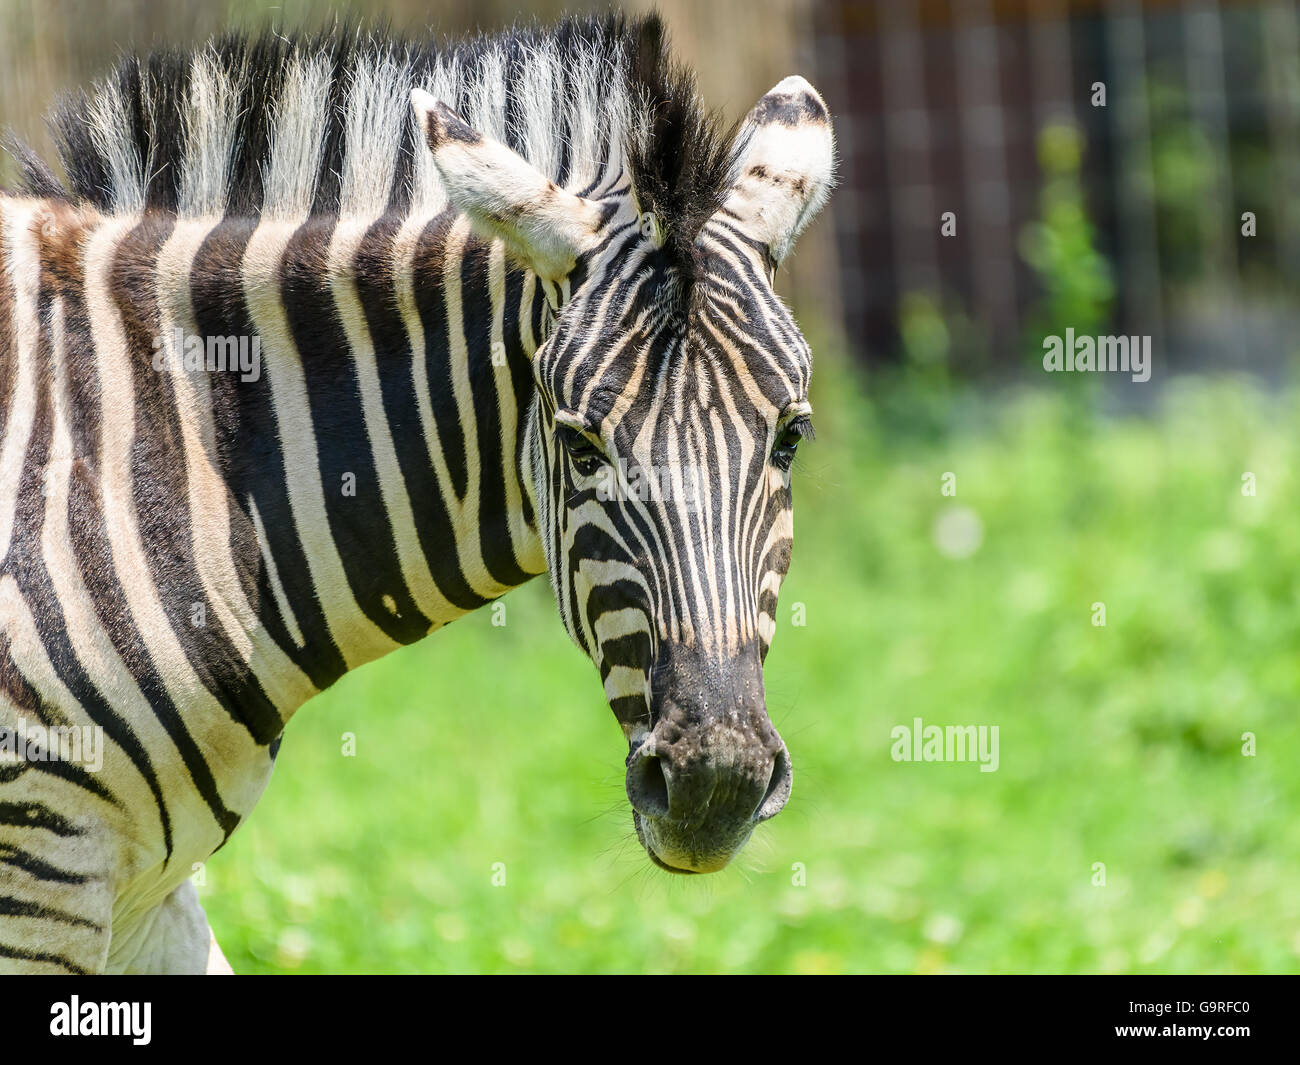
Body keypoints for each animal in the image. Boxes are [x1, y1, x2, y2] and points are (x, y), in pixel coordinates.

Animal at [0, 13, 834, 973]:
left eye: (789, 438)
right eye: (580, 443)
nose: (714, 786)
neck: (163, 452)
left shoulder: (149, 893)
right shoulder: (42, 867)